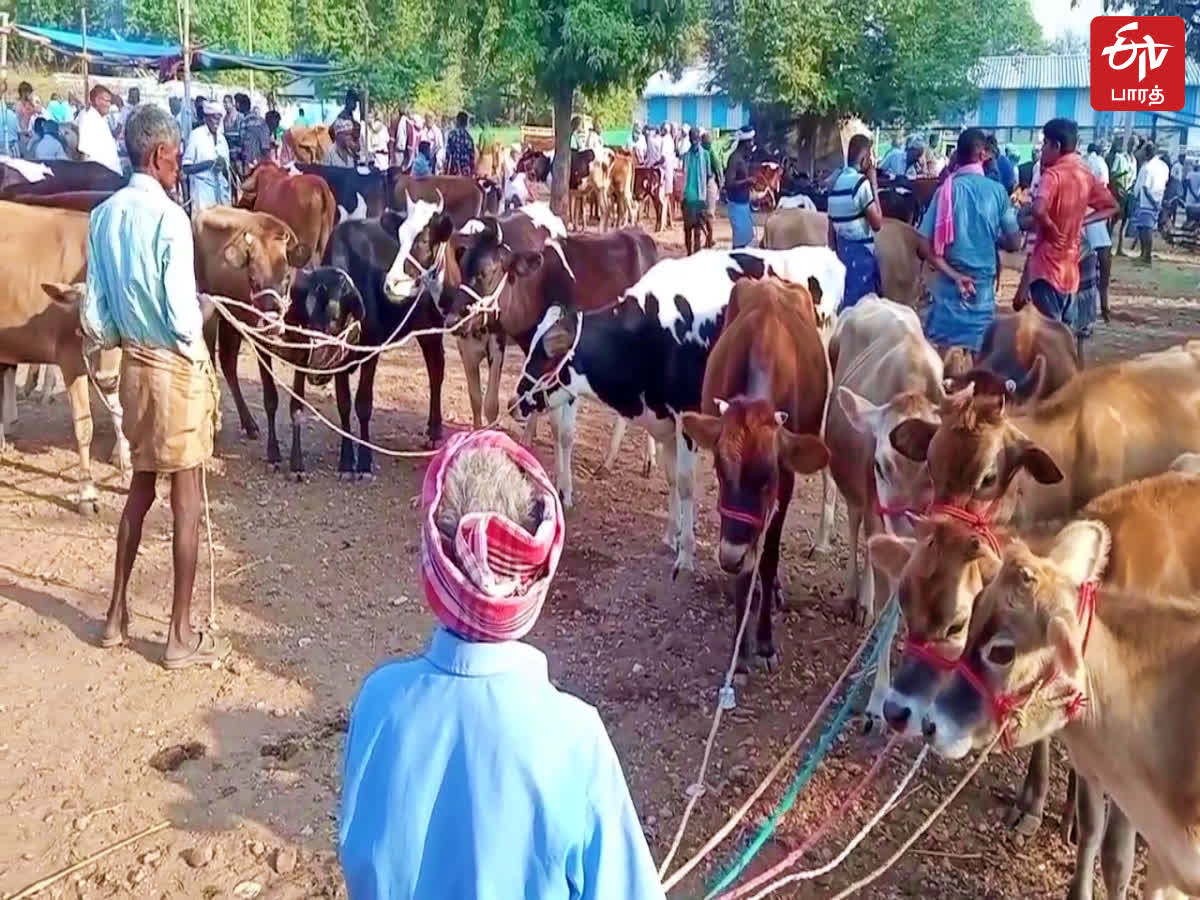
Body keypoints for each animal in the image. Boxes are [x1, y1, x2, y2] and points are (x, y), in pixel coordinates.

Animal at [440, 206, 659, 502]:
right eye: (461, 267)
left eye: (487, 271)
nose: (453, 319)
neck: (542, 286)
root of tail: (640, 236)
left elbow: (563, 431)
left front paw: (564, 488)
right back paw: (610, 460)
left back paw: (648, 459)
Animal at [511, 247, 845, 579]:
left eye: (545, 356)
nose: (516, 401)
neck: (651, 333)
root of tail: (824, 255)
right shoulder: (666, 421)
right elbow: (671, 478)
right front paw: (672, 535)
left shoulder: (687, 419)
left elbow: (685, 484)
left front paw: (685, 553)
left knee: (829, 467)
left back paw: (822, 540)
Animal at [680, 278, 830, 673]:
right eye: (720, 471)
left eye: (768, 479)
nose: (729, 556)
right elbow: (746, 570)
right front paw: (741, 647)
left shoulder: (785, 484)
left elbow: (767, 557)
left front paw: (763, 641)